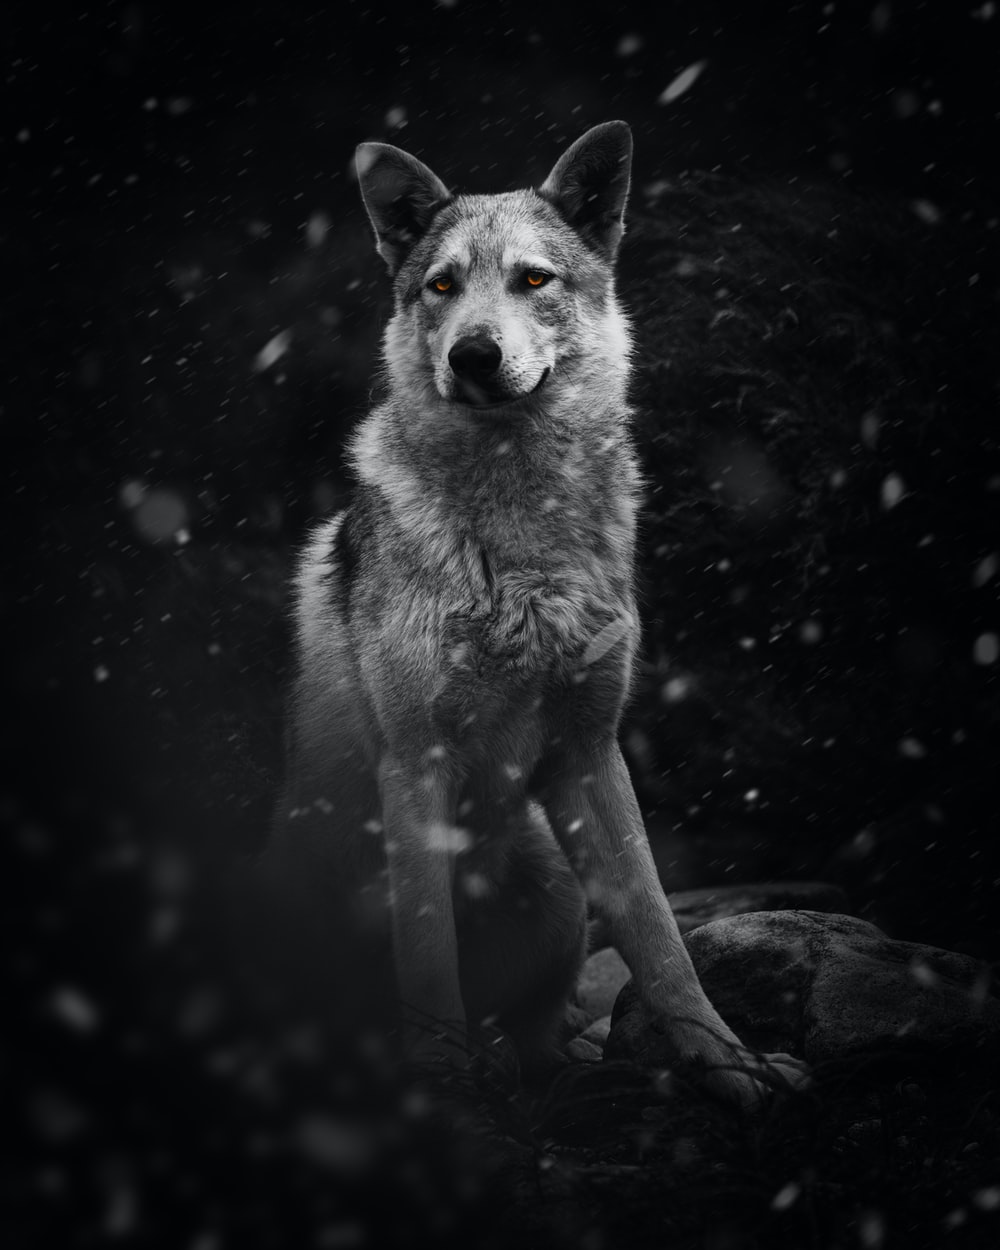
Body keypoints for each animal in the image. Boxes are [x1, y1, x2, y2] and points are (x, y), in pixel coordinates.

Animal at [265, 121, 807, 1107]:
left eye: (533, 279)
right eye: (442, 285)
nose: (473, 355)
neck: (520, 549)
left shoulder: (591, 753)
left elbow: (662, 939)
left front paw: (730, 1061)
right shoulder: (416, 765)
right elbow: (427, 952)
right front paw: (438, 1082)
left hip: (555, 889)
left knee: (541, 1033)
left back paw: (550, 1063)